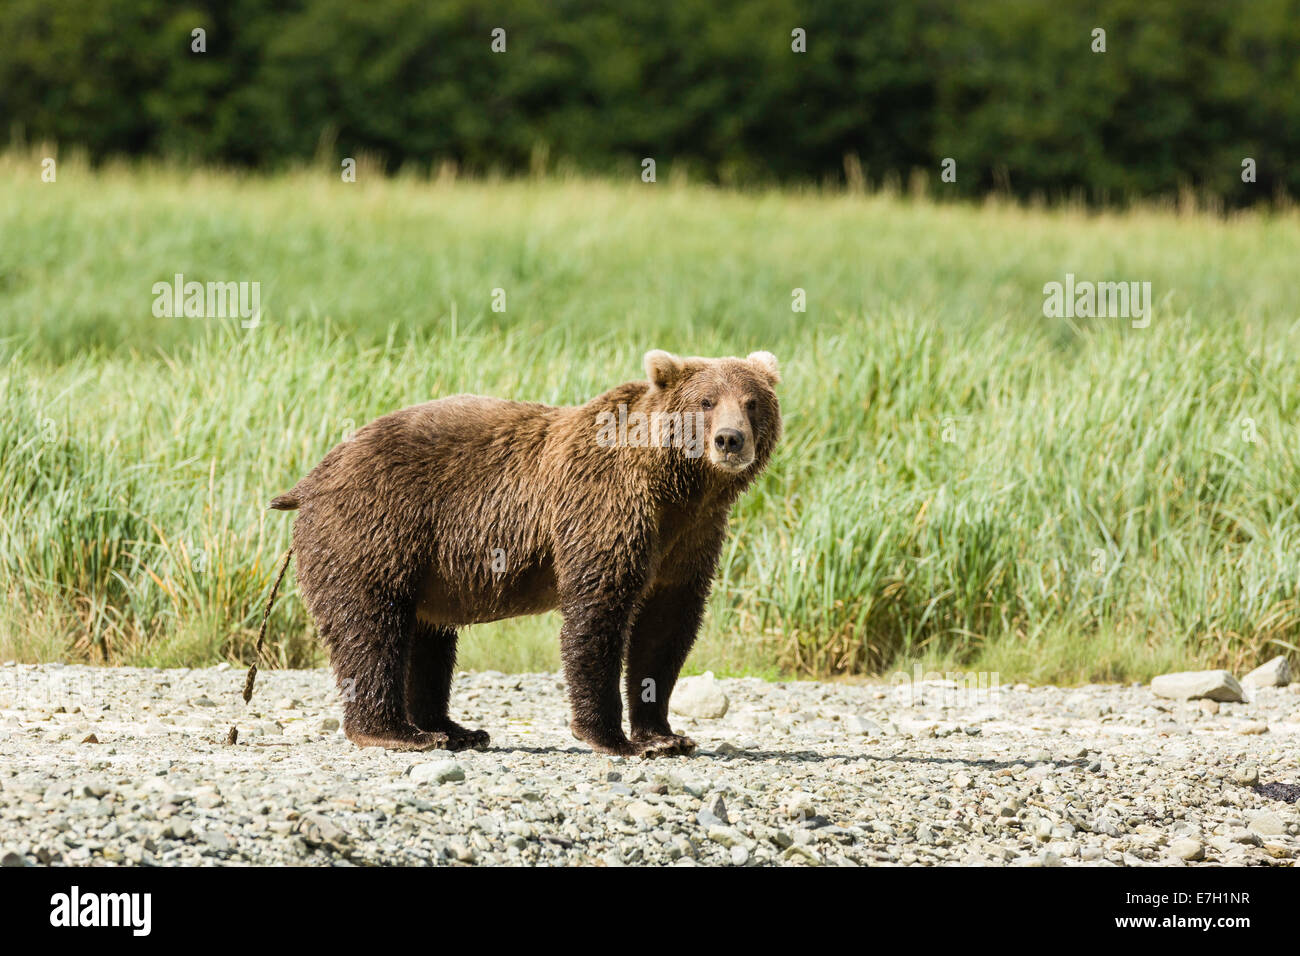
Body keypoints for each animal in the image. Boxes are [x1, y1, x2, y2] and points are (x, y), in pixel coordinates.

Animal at [268, 349, 781, 757]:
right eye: (706, 401)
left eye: (752, 402)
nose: (730, 439)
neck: (679, 487)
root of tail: (314, 475)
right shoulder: (603, 508)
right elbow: (598, 614)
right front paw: (612, 737)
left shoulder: (691, 539)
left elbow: (666, 628)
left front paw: (667, 736)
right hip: (375, 529)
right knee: (372, 626)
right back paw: (398, 732)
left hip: (426, 563)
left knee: (428, 637)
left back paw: (455, 729)